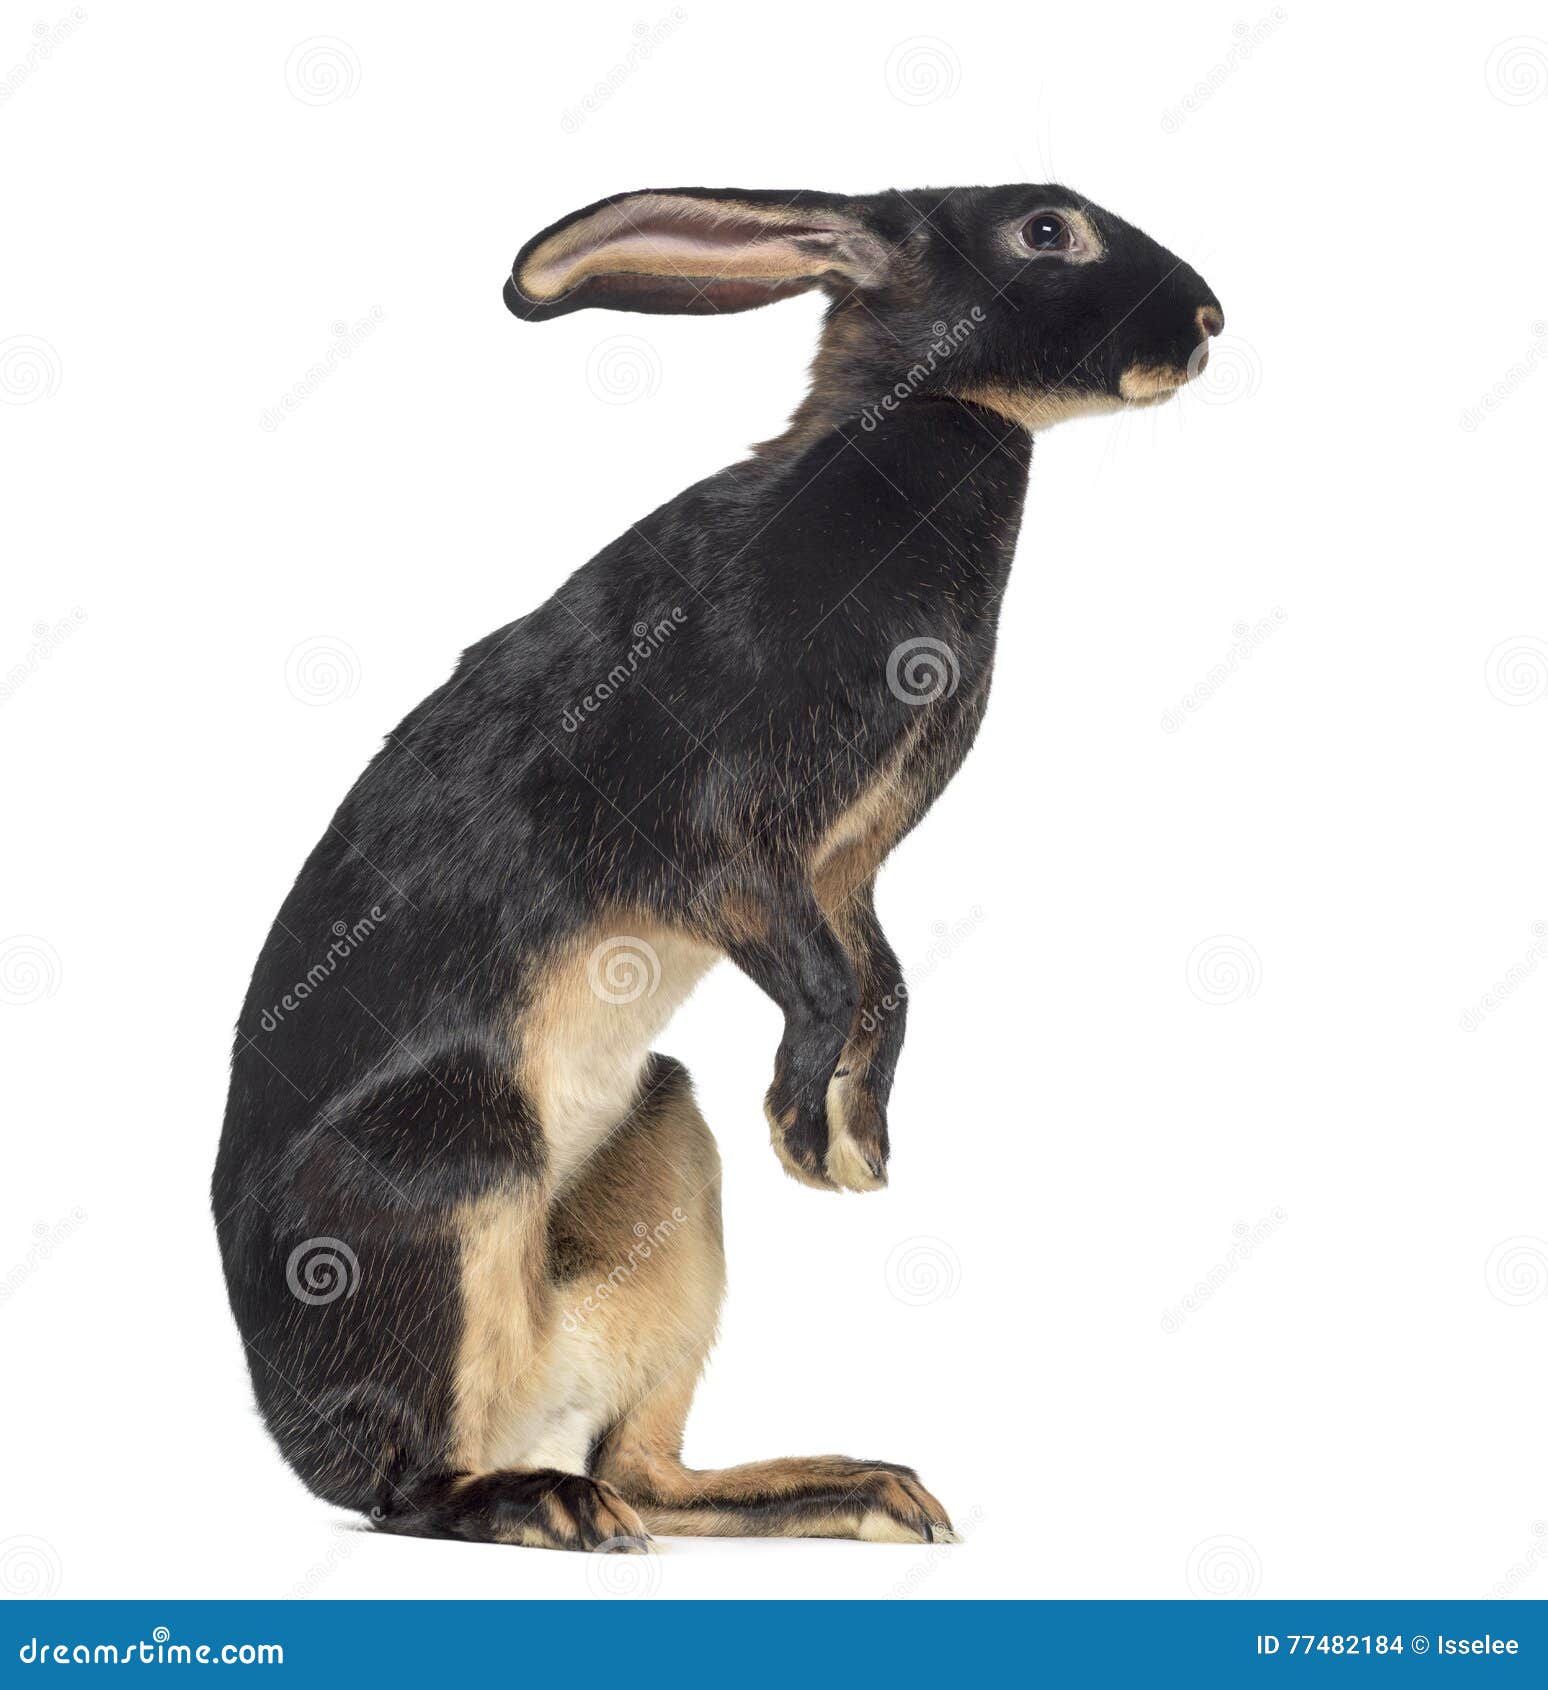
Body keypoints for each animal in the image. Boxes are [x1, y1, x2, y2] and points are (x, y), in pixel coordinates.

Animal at [213, 184, 1223, 1552]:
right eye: (1046, 231)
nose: (1207, 322)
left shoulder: (845, 869)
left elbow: (886, 980)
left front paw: (856, 1141)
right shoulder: (719, 849)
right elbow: (824, 978)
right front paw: (805, 1125)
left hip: (665, 1150)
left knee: (648, 1467)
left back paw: (864, 1492)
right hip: (452, 1170)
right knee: (410, 1483)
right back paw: (540, 1504)